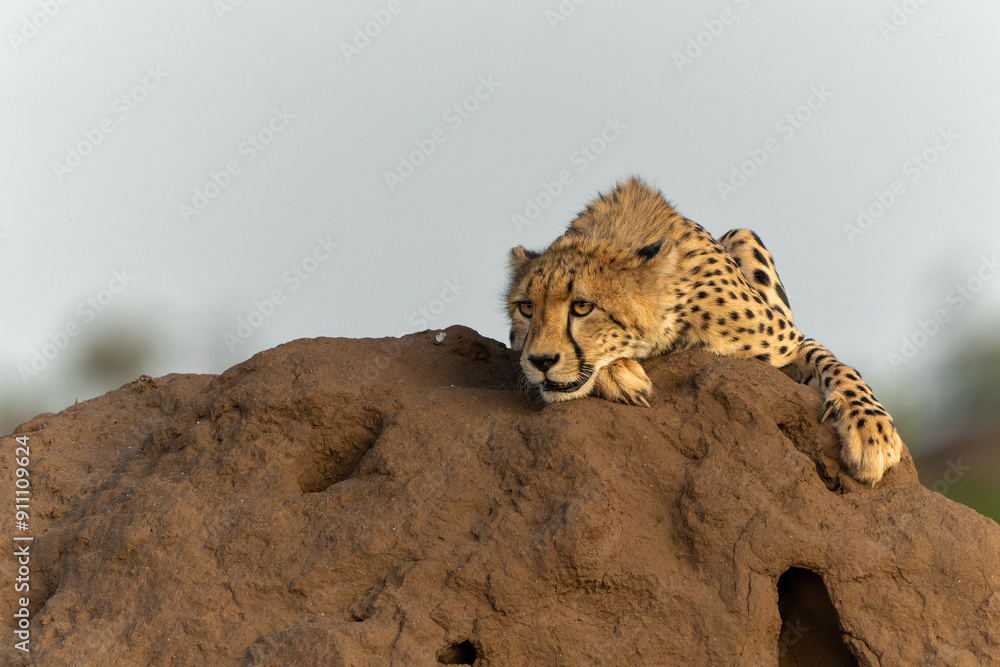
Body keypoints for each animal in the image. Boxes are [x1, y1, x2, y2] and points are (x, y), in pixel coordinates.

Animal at [505, 177, 903, 485]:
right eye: (526, 308)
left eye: (582, 307)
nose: (541, 361)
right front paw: (620, 374)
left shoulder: (786, 346)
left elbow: (839, 366)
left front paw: (872, 432)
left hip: (744, 234)